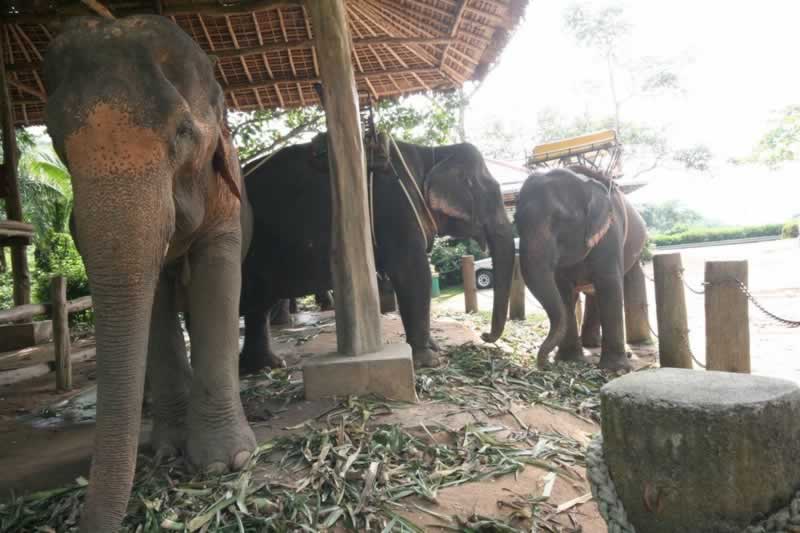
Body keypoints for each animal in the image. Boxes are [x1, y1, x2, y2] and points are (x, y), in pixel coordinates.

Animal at [44, 16, 256, 531]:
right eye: (57, 144)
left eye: (182, 133)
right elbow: (151, 298)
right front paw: (167, 449)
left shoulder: (225, 196)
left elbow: (217, 279)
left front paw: (225, 463)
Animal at [239, 134, 515, 372]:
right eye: (492, 193)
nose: (484, 335)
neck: (431, 154)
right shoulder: (396, 209)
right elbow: (413, 273)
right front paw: (429, 361)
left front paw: (434, 348)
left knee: (259, 304)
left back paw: (267, 366)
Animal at [515, 165, 648, 371]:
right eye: (515, 221)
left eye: (560, 219)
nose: (544, 363)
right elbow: (562, 291)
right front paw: (569, 360)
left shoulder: (611, 232)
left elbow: (609, 283)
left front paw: (615, 369)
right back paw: (589, 344)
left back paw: (603, 347)